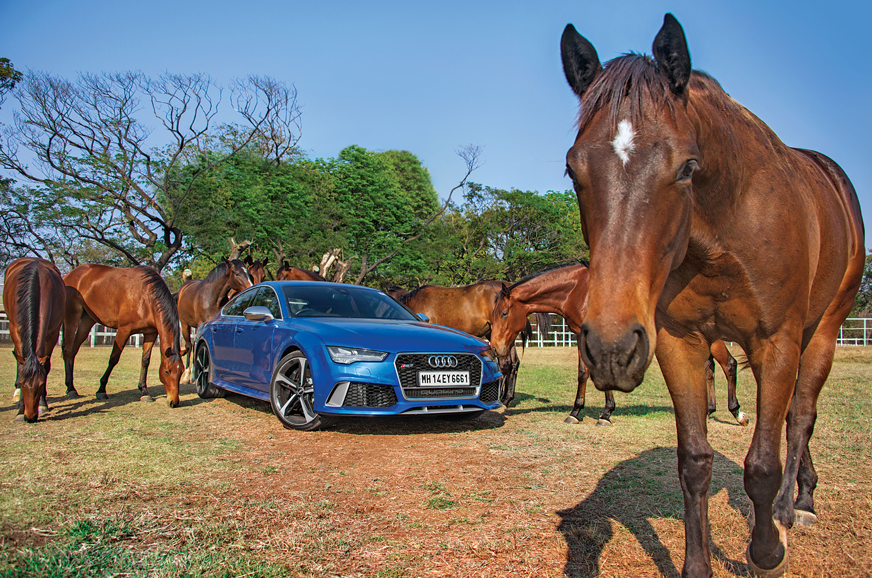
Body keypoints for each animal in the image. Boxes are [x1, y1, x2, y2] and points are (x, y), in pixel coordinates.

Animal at [3, 258, 66, 422]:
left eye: (41, 383)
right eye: (23, 384)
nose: (30, 417)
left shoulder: (52, 331)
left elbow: (46, 366)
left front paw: (43, 404)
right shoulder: (14, 329)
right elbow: (20, 365)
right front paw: (19, 411)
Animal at [63, 264, 185, 407]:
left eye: (181, 371)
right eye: (166, 371)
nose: (173, 402)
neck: (146, 298)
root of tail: (69, 275)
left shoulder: (150, 333)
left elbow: (145, 360)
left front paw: (144, 391)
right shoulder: (123, 331)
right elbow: (113, 359)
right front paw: (101, 390)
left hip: (87, 320)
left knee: (74, 350)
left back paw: (70, 387)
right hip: (72, 318)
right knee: (68, 350)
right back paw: (71, 389)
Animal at [489, 263, 748, 426]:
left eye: (504, 313)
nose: (495, 347)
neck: (580, 290)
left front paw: (605, 414)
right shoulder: (579, 336)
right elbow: (582, 373)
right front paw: (576, 412)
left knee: (729, 365)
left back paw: (738, 413)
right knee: (709, 368)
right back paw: (708, 411)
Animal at [561, 14, 864, 577]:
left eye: (686, 167)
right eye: (572, 169)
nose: (611, 348)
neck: (722, 231)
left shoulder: (776, 341)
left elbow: (763, 465)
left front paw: (767, 550)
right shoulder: (680, 344)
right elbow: (695, 464)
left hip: (823, 331)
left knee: (801, 416)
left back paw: (795, 507)